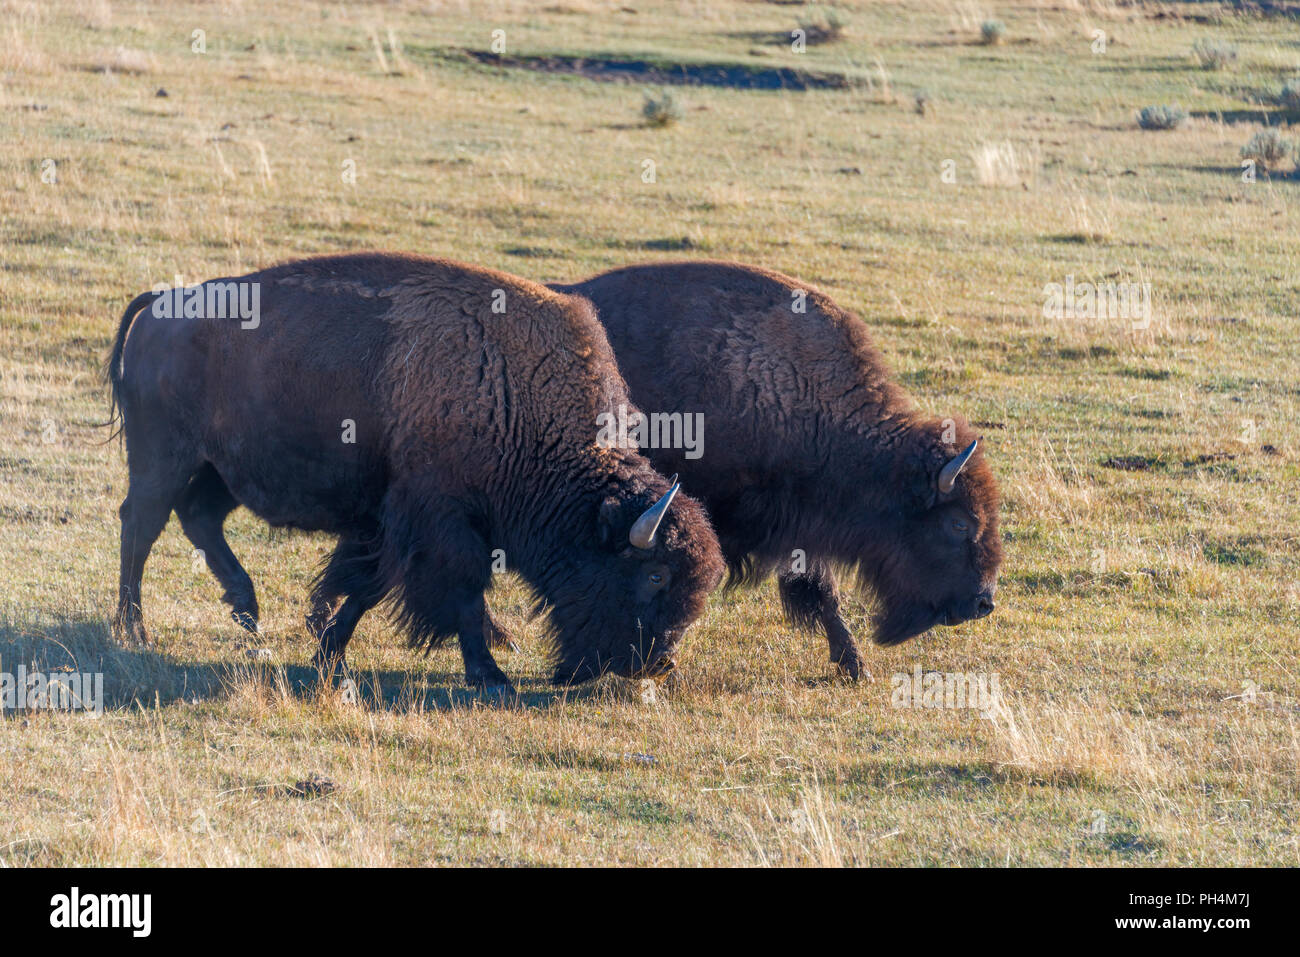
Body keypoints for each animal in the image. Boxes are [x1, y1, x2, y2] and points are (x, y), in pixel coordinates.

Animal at [106, 253, 724, 691]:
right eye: (654, 575)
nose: (659, 664)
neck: (514, 397)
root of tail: (164, 301)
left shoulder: (395, 524)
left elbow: (368, 586)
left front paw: (328, 652)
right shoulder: (439, 523)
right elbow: (459, 592)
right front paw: (490, 676)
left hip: (217, 468)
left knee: (198, 517)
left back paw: (247, 612)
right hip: (163, 455)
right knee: (141, 524)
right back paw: (134, 628)